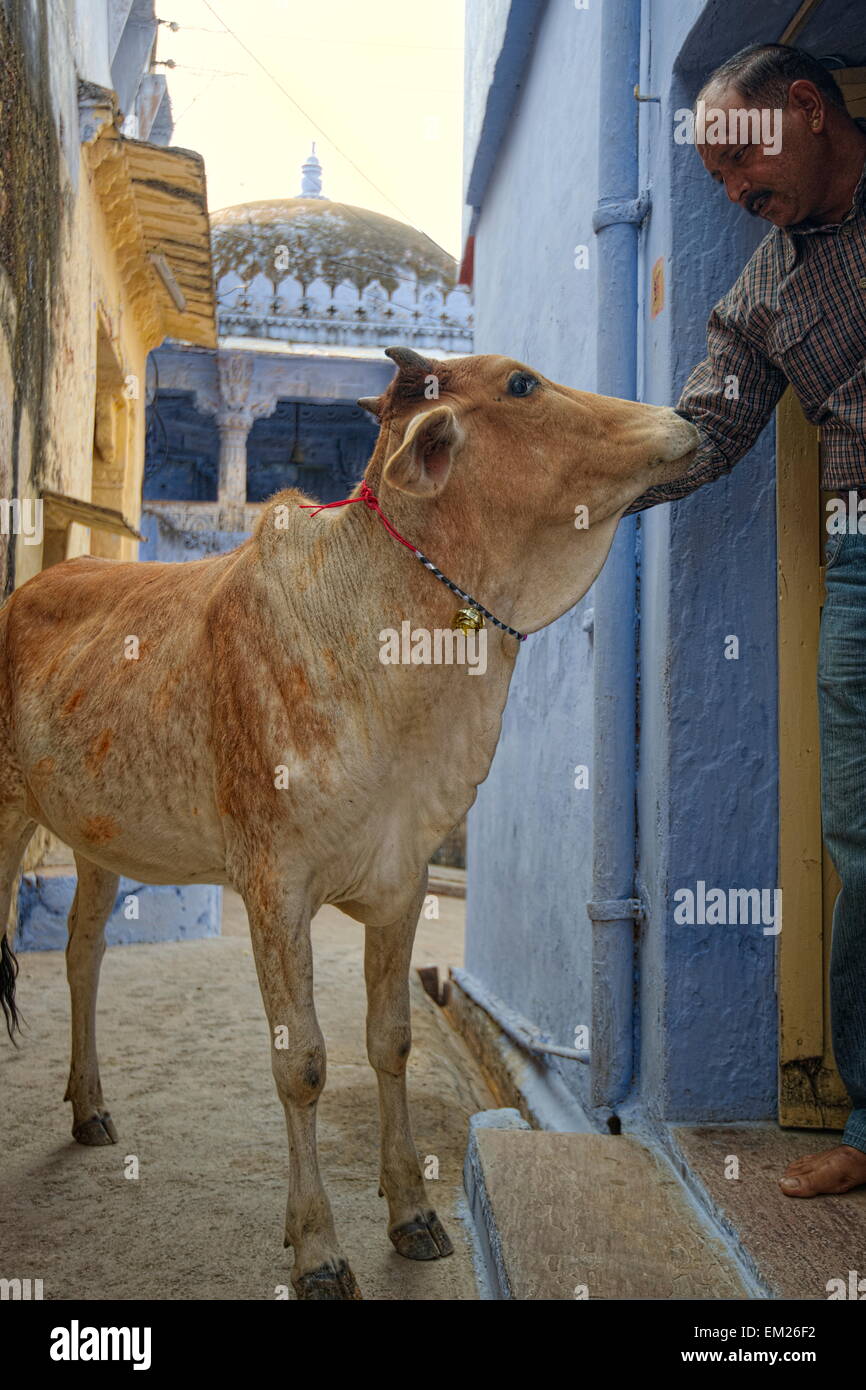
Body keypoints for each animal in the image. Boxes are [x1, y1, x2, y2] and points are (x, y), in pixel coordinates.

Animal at [0, 347, 698, 1299]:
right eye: (521, 384)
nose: (686, 417)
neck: (395, 645)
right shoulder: (273, 888)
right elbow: (303, 1064)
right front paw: (319, 1251)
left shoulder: (403, 880)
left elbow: (390, 1042)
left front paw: (412, 1213)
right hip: (9, 810)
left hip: (97, 835)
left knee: (81, 953)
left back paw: (91, 1106)